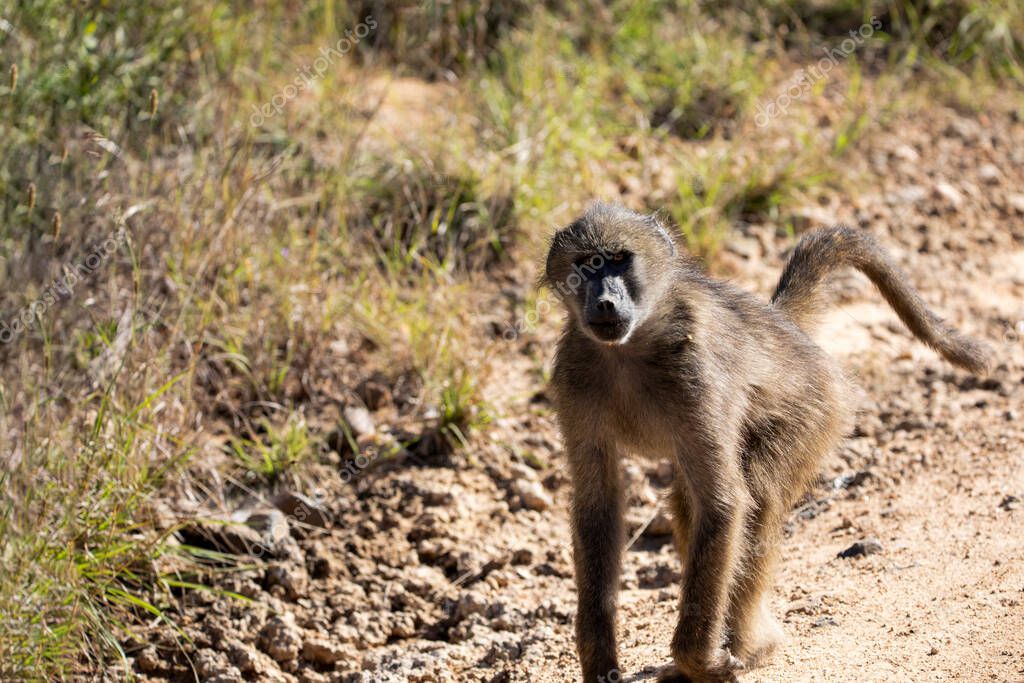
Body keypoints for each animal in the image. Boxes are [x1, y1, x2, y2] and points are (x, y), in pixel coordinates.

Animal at [543, 202, 990, 683]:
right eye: (586, 265)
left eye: (619, 259)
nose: (605, 301)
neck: (627, 348)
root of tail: (787, 328)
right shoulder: (573, 378)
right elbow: (599, 508)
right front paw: (600, 665)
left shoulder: (695, 374)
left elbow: (724, 503)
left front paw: (700, 660)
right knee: (689, 504)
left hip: (818, 412)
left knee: (756, 496)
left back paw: (752, 646)